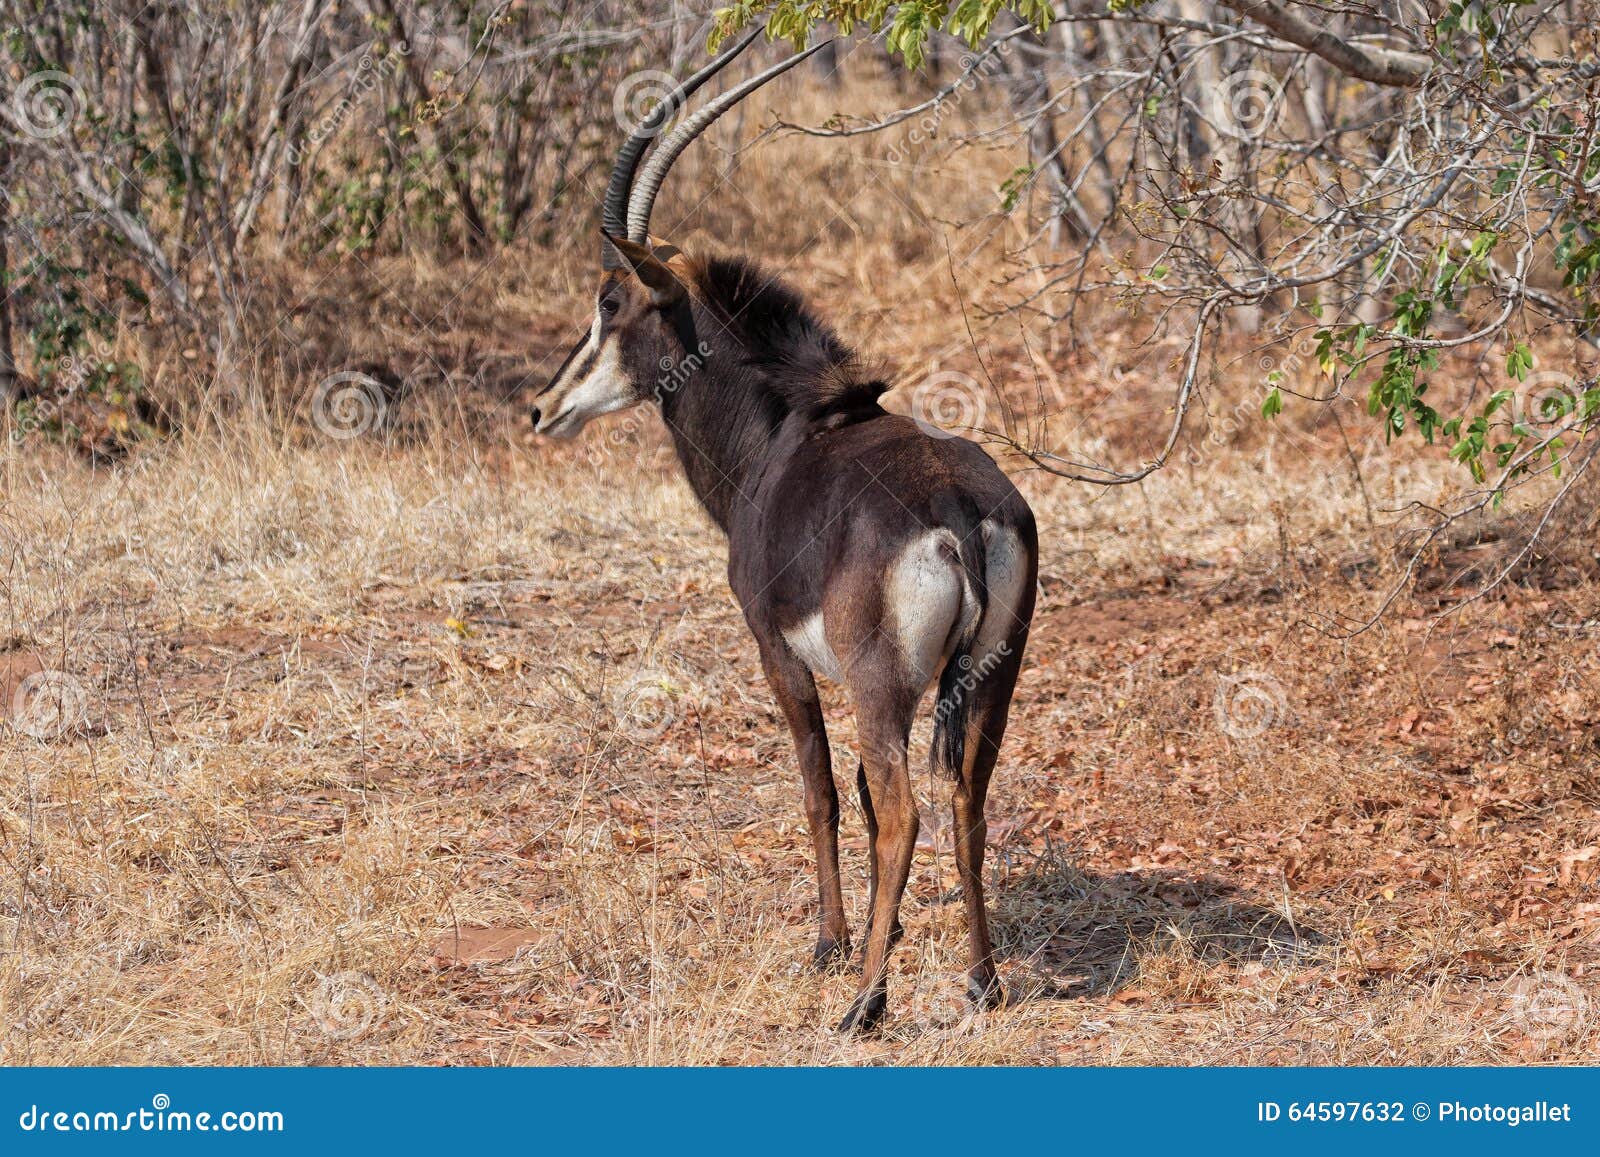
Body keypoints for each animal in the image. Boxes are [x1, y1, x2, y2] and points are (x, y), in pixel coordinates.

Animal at [533, 32, 1037, 1032]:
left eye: (610, 302)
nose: (544, 406)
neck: (785, 427)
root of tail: (962, 512)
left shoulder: (778, 651)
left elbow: (821, 792)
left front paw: (831, 943)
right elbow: (860, 797)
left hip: (884, 686)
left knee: (906, 808)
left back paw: (866, 1002)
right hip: (992, 680)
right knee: (967, 799)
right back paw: (981, 980)